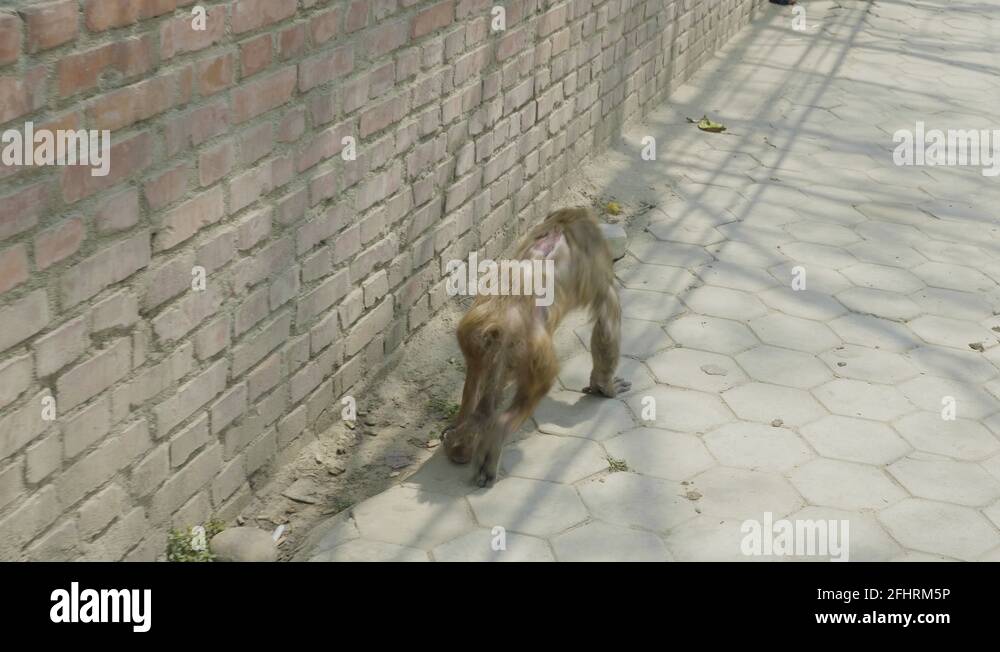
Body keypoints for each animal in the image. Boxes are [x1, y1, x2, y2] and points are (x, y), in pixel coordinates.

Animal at [443, 206, 631, 487]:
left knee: (478, 376)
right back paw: (495, 435)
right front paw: (605, 387)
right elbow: (607, 314)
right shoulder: (596, 249)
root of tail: (503, 322)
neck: (565, 219)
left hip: (473, 334)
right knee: (540, 383)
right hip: (533, 350)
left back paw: (463, 435)